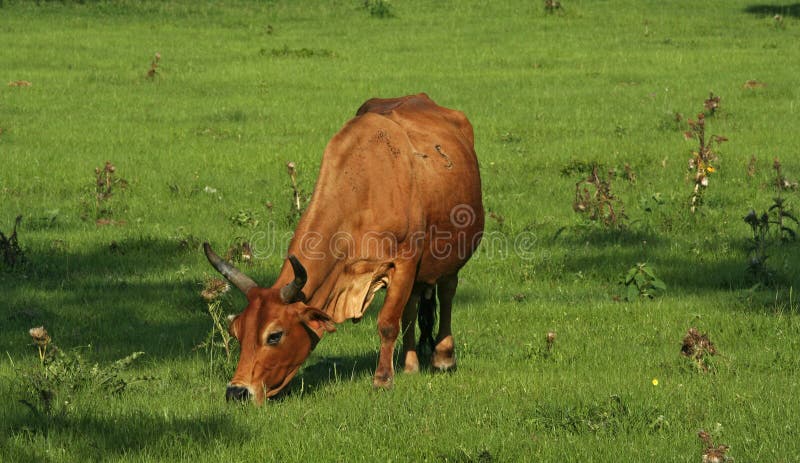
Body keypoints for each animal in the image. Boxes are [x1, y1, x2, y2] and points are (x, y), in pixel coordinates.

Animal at [203, 93, 483, 403]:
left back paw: (443, 356)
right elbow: (401, 315)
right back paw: (410, 363)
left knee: (446, 293)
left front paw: (382, 379)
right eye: (237, 331)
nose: (236, 391)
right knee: (411, 308)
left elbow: (388, 322)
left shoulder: (404, 262)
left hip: (452, 255)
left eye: (275, 335)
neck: (364, 188)